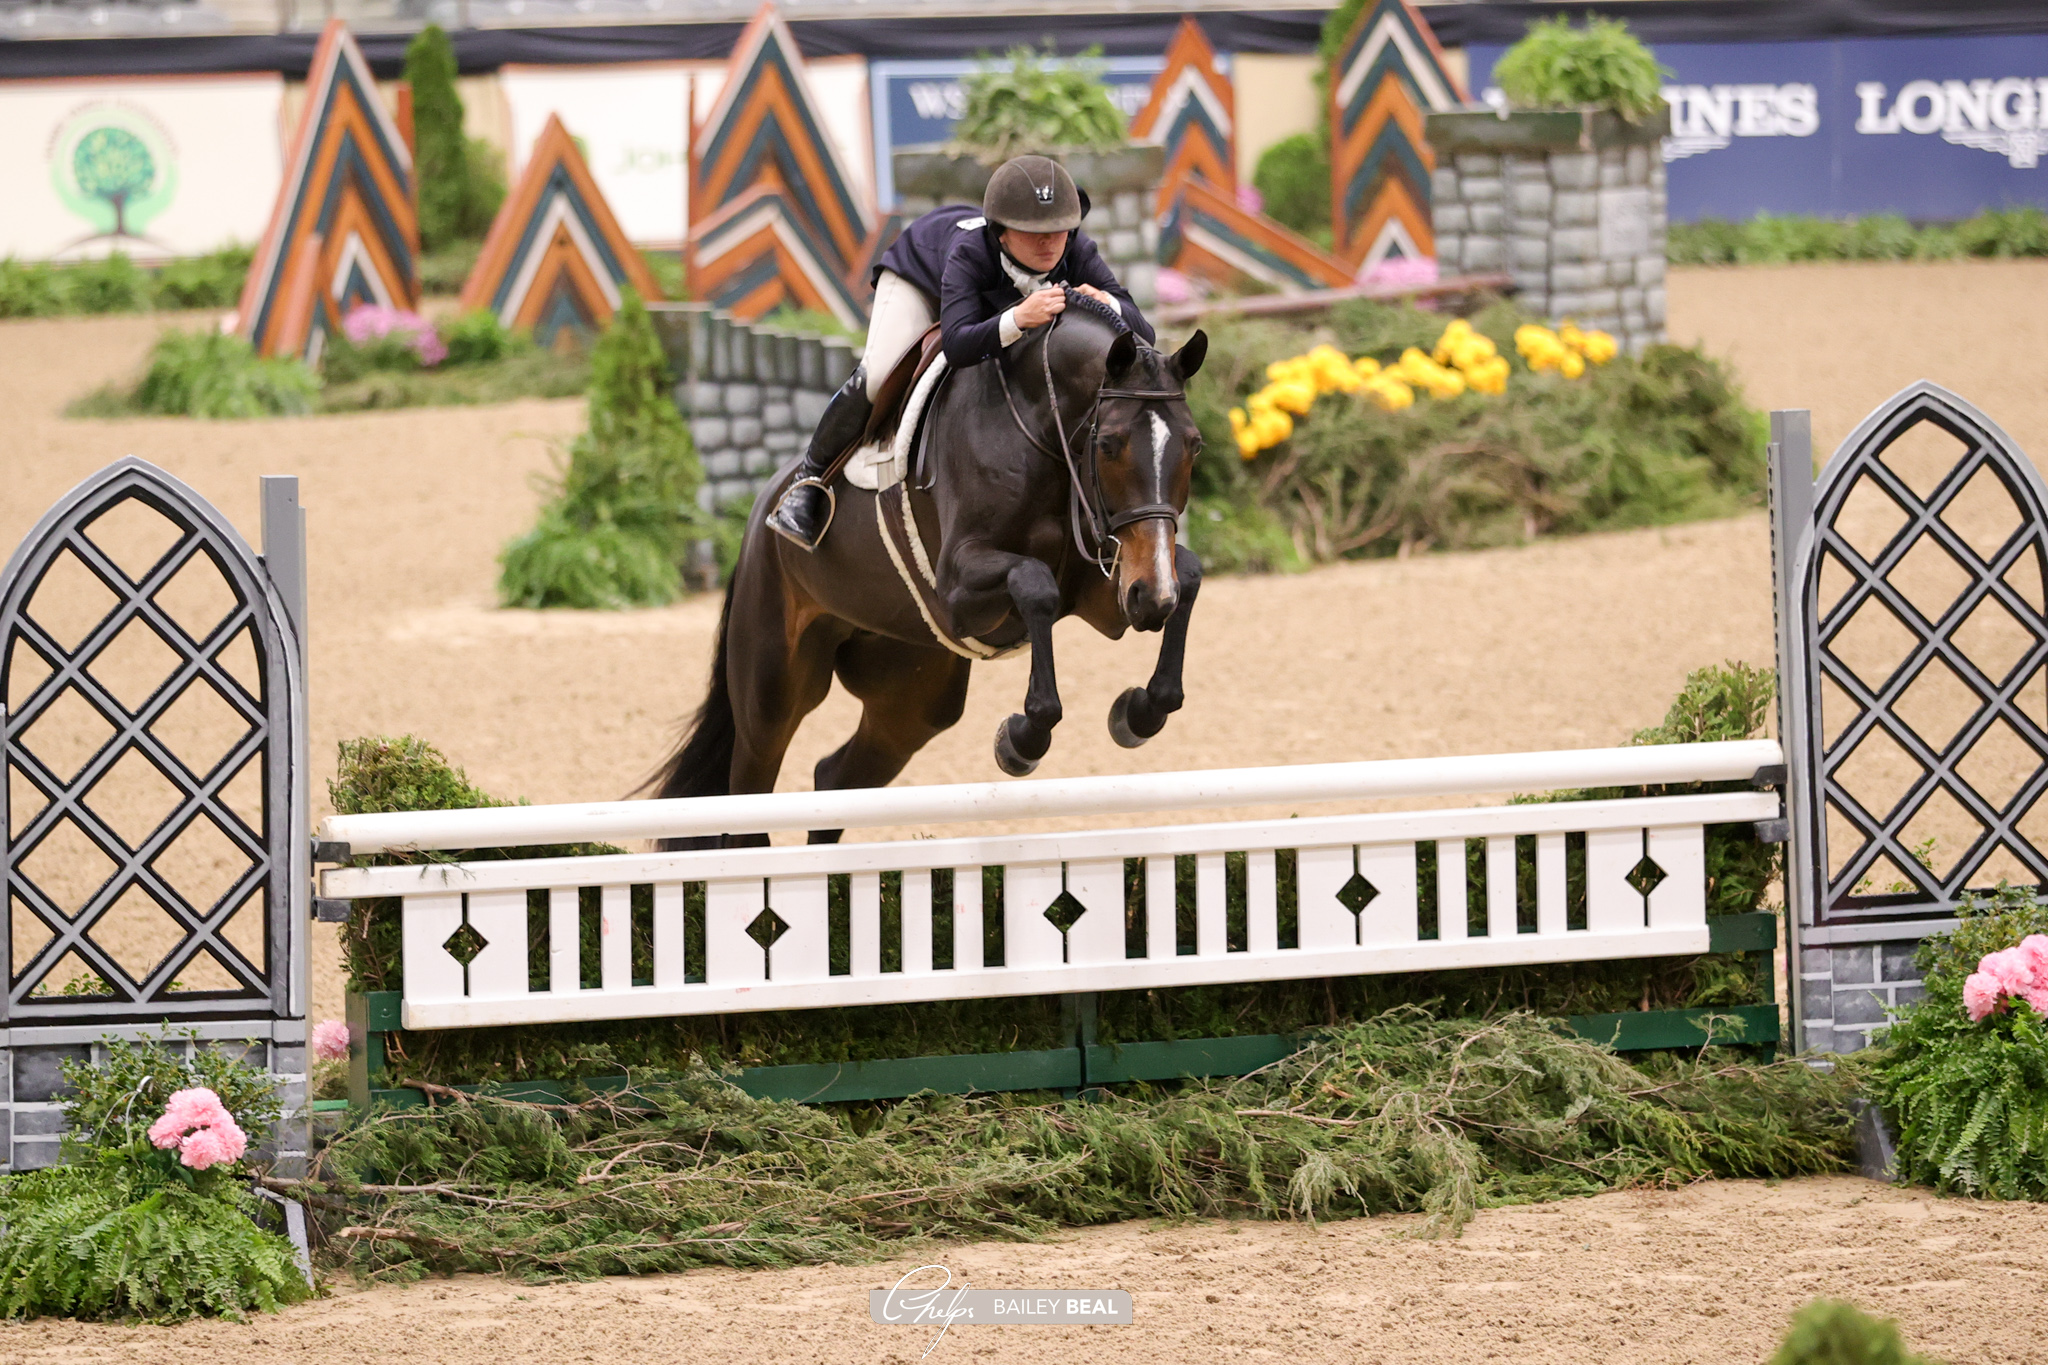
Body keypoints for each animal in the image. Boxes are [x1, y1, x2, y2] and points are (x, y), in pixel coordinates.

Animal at [646, 290, 1209, 844]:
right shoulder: (959, 591)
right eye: (1109, 445)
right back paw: (800, 512)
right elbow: (1034, 583)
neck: (1039, 432)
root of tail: (762, 507)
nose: (1151, 597)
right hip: (773, 687)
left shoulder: (1109, 582)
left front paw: (1139, 712)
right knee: (747, 798)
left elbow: (1189, 574)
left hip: (911, 695)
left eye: (1194, 445)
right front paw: (1022, 739)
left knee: (834, 779)